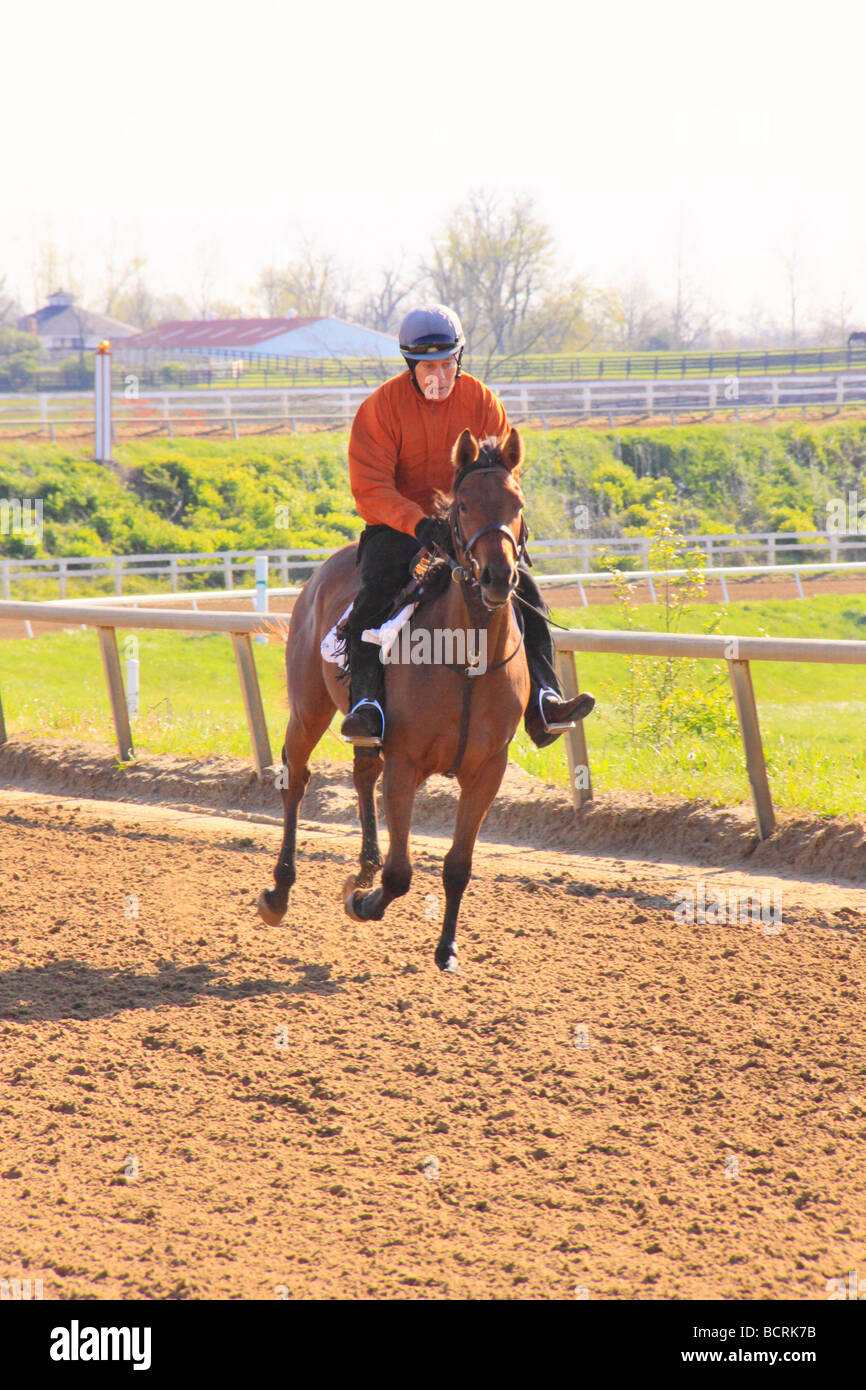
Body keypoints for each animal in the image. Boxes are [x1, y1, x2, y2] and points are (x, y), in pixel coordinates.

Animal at [256, 426, 533, 971]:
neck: (466, 660)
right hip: (309, 707)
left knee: (363, 771)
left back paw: (363, 867)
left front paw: (447, 948)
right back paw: (280, 891)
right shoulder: (406, 762)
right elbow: (401, 873)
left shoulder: (487, 770)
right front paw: (363, 902)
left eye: (516, 503)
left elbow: (458, 866)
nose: (497, 576)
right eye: (464, 504)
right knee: (296, 777)